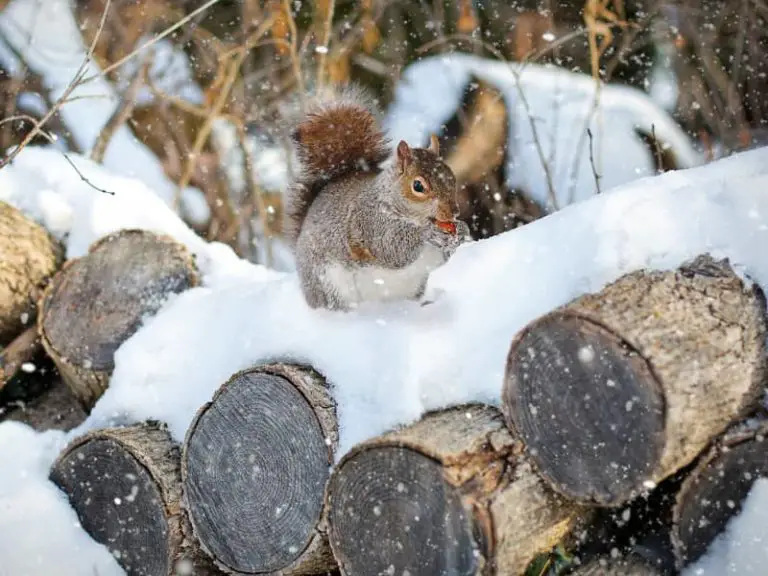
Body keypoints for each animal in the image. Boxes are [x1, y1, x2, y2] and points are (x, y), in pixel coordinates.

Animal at [284, 87, 470, 311]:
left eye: (452, 177)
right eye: (418, 186)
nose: (454, 212)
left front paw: (463, 230)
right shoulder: (369, 222)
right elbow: (391, 248)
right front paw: (428, 232)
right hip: (329, 287)